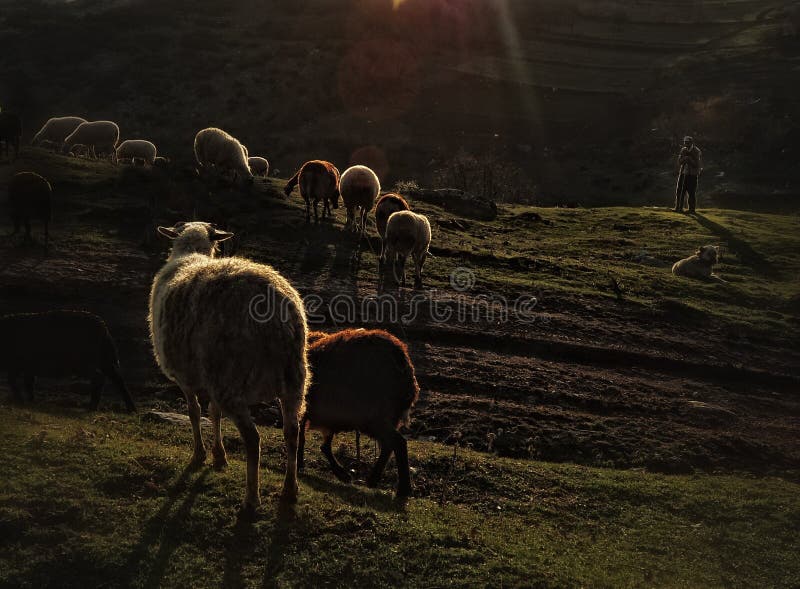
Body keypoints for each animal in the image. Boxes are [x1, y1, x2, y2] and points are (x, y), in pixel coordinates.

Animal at [0, 310, 136, 412]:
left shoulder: (17, 364)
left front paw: (20, 401)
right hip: (106, 361)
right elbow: (29, 382)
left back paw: (92, 407)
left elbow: (14, 381)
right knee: (118, 380)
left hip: (84, 362)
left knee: (100, 377)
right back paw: (131, 409)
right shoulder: (28, 367)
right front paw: (30, 401)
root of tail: (103, 327)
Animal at [149, 221, 308, 510]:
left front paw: (200, 454)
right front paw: (219, 456)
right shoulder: (210, 378)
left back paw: (252, 498)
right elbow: (213, 413)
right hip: (293, 378)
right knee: (291, 432)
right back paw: (290, 490)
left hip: (231, 381)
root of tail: (274, 318)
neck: (189, 254)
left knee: (253, 439)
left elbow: (194, 412)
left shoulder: (185, 376)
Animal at [299, 329, 419, 497]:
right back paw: (370, 479)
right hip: (382, 418)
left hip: (374, 417)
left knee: (397, 442)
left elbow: (301, 437)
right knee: (388, 445)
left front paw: (299, 464)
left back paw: (402, 489)